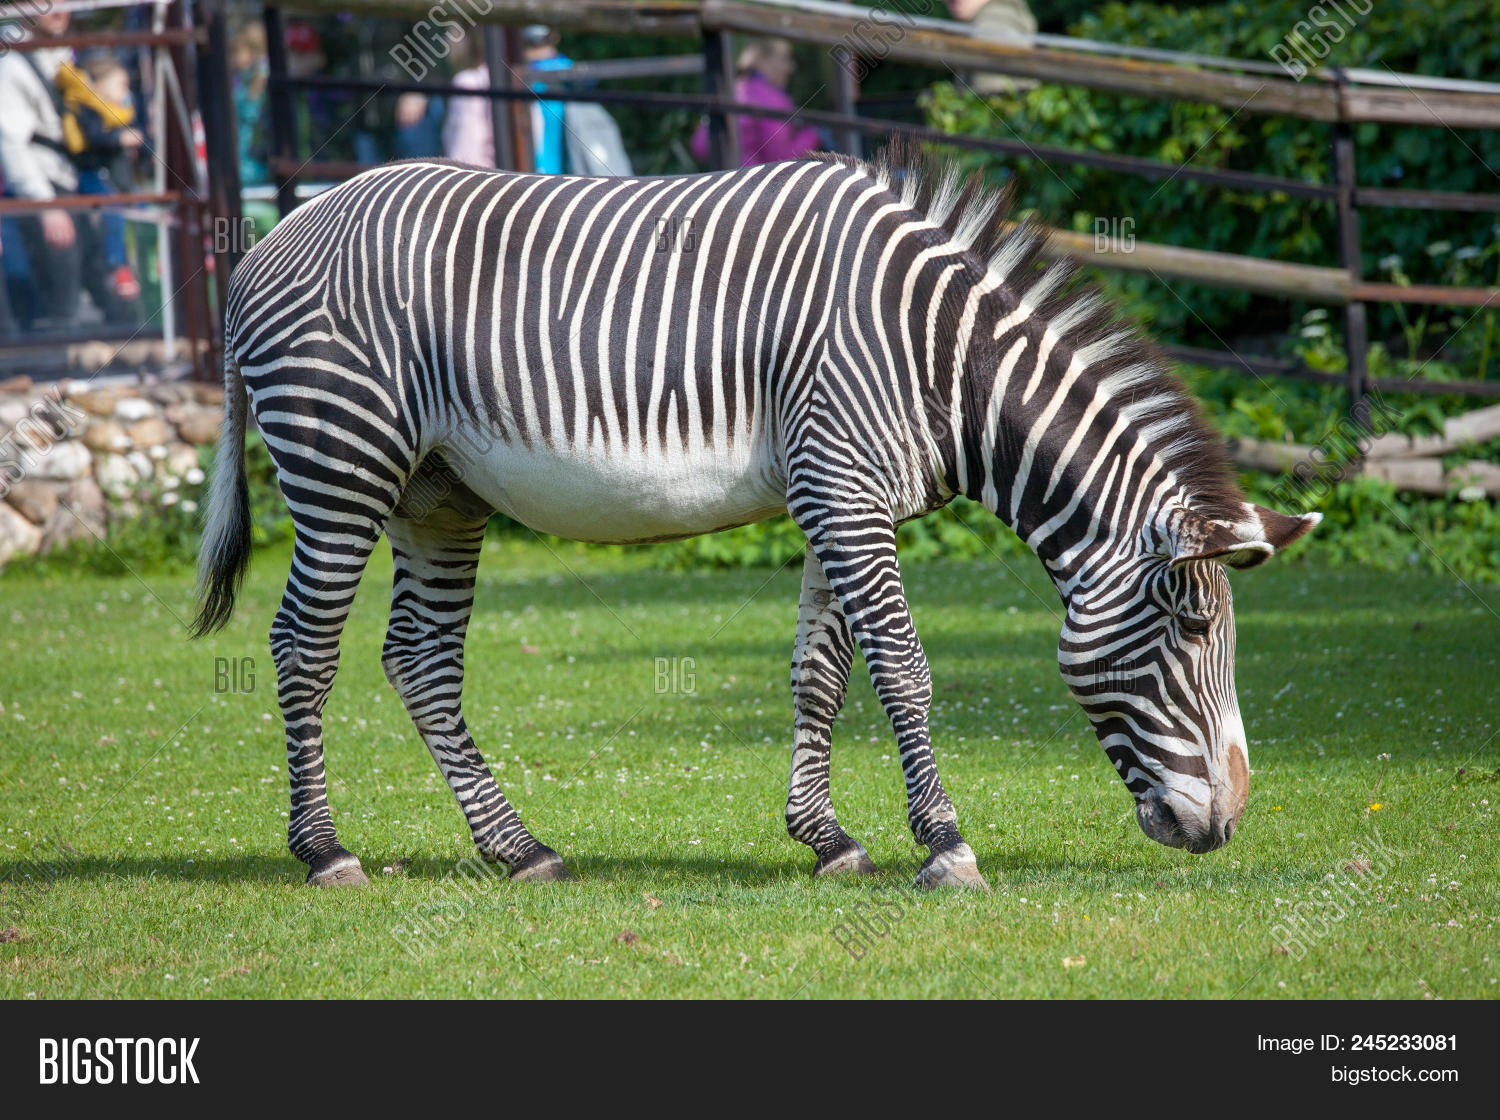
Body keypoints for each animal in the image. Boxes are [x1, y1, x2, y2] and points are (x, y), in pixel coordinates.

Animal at [193, 146, 1318, 890]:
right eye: (1194, 630)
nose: (1229, 823)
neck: (941, 358)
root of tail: (270, 239)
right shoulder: (844, 489)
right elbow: (903, 668)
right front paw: (946, 845)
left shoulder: (839, 497)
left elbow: (822, 673)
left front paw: (829, 839)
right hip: (341, 461)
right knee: (302, 646)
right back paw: (325, 851)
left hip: (435, 494)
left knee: (419, 660)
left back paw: (520, 849)